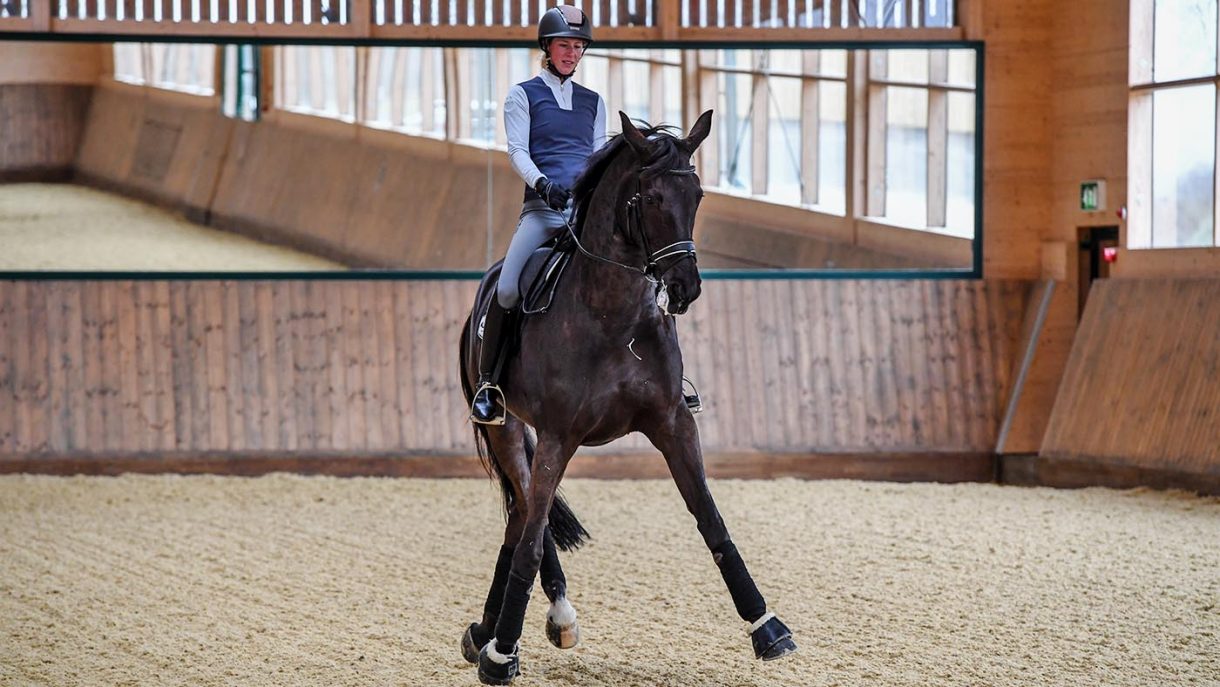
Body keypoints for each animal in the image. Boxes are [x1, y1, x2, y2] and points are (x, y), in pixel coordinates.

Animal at [457, 110, 797, 685]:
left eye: (697, 195)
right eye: (652, 198)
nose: (685, 287)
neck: (612, 314)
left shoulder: (673, 421)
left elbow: (711, 520)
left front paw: (766, 627)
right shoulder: (558, 436)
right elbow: (533, 538)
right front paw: (501, 655)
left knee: (520, 515)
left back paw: (492, 629)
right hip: (504, 425)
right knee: (526, 515)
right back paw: (511, 633)